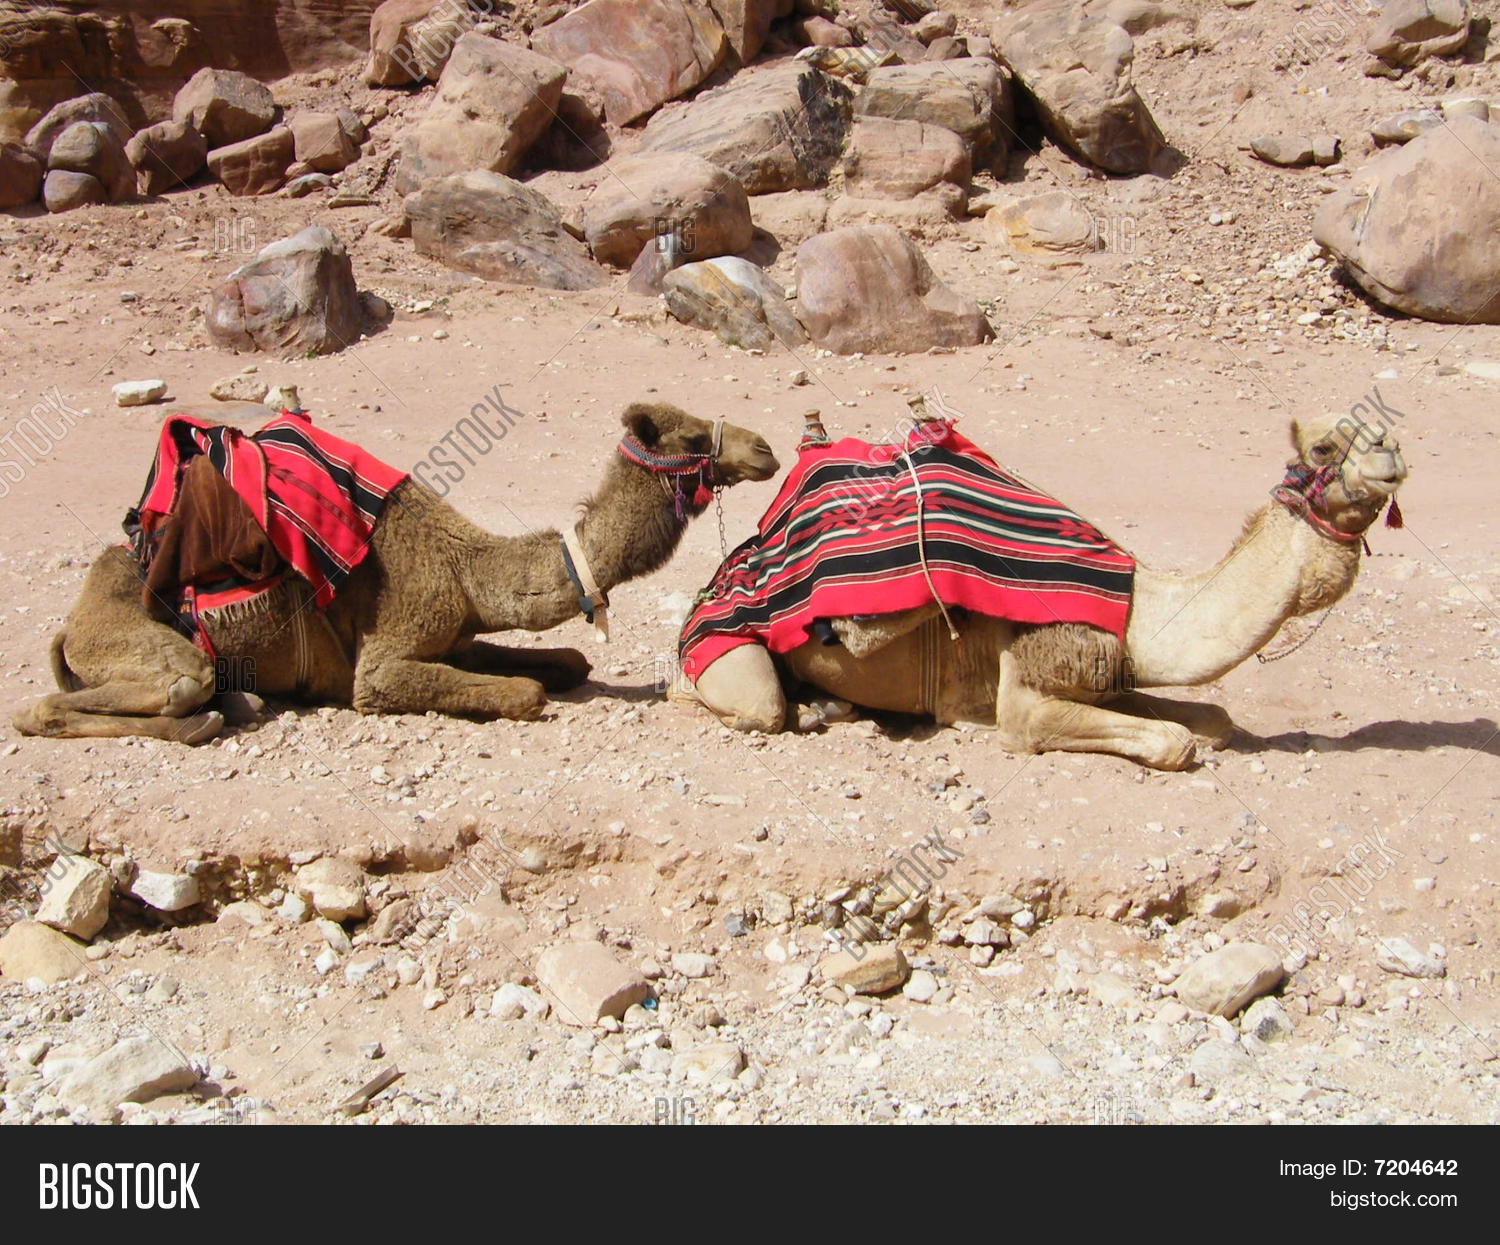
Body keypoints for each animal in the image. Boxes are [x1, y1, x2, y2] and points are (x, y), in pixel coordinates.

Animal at [14, 403, 779, 744]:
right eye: (688, 435)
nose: (765, 448)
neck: (465, 567)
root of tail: (71, 625)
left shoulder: (456, 631)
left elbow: (566, 661)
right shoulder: (385, 658)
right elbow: (525, 690)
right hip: (143, 641)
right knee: (123, 693)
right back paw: (207, 715)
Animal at [680, 413, 1408, 770]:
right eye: (1323, 447)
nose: (1392, 452)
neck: (1134, 604)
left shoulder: (1107, 671)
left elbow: (1215, 721)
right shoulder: (1027, 687)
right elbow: (1174, 742)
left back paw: (833, 706)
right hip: (721, 651)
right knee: (752, 703)